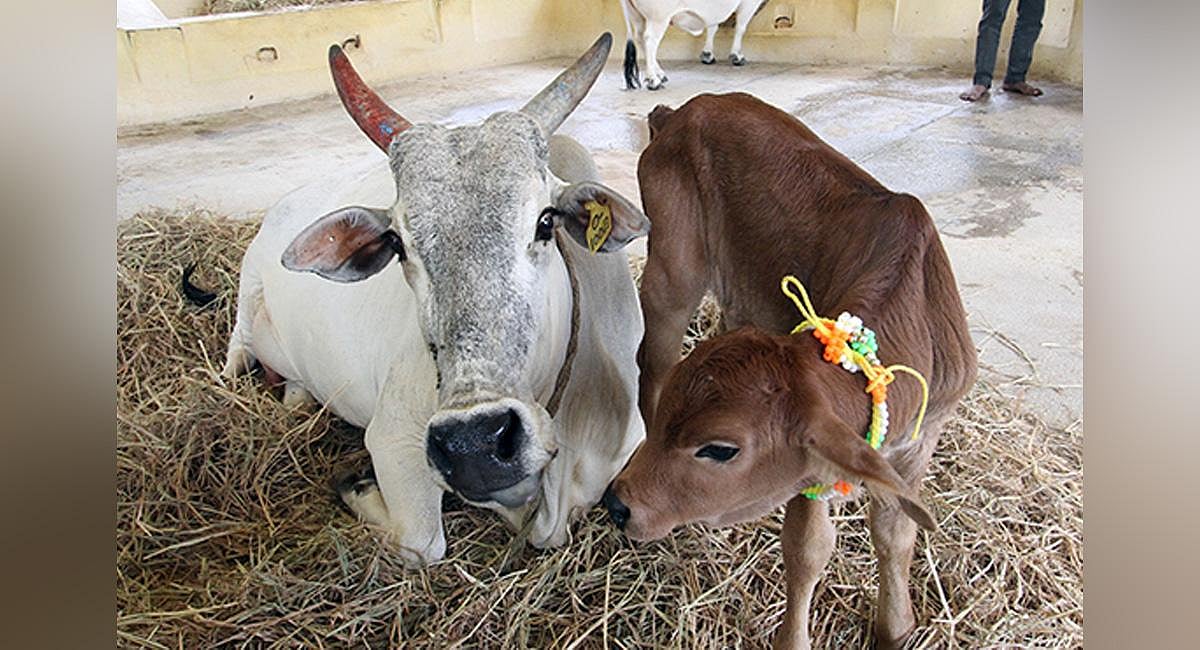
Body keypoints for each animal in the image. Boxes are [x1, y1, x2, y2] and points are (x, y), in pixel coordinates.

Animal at [220, 33, 651, 567]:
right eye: (398, 243)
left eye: (546, 222)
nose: (475, 445)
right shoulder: (394, 439)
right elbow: (422, 542)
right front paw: (356, 486)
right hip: (249, 282)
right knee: (239, 342)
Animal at [603, 93, 977, 649]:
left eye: (721, 449)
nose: (617, 504)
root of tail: (683, 110)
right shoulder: (811, 467)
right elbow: (808, 549)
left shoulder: (922, 439)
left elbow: (896, 532)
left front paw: (896, 628)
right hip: (673, 266)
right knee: (653, 362)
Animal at [620, 0, 767, 90]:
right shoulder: (748, 3)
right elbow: (741, 27)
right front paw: (736, 56)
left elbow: (713, 26)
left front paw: (707, 54)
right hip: (658, 17)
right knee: (650, 41)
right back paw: (653, 80)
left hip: (637, 15)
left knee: (640, 37)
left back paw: (660, 74)